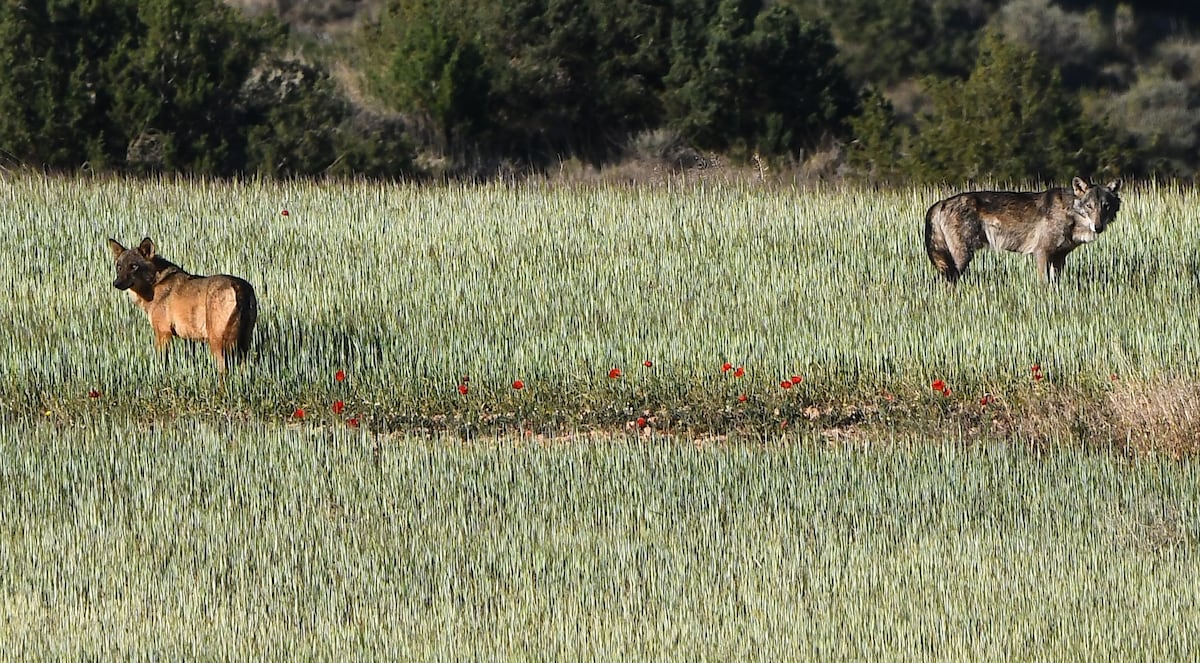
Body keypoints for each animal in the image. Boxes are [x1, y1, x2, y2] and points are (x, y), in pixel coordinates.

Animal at [107, 237, 258, 374]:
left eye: (133, 266)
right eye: (119, 267)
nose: (116, 283)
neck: (154, 286)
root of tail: (239, 287)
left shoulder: (163, 333)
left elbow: (161, 363)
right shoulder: (186, 339)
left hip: (218, 343)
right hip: (243, 344)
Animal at [924, 177, 1122, 283]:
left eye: (1105, 206)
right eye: (1089, 206)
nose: (1098, 227)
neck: (1068, 213)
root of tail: (940, 203)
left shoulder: (1059, 258)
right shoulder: (1041, 253)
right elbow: (1044, 283)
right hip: (961, 260)